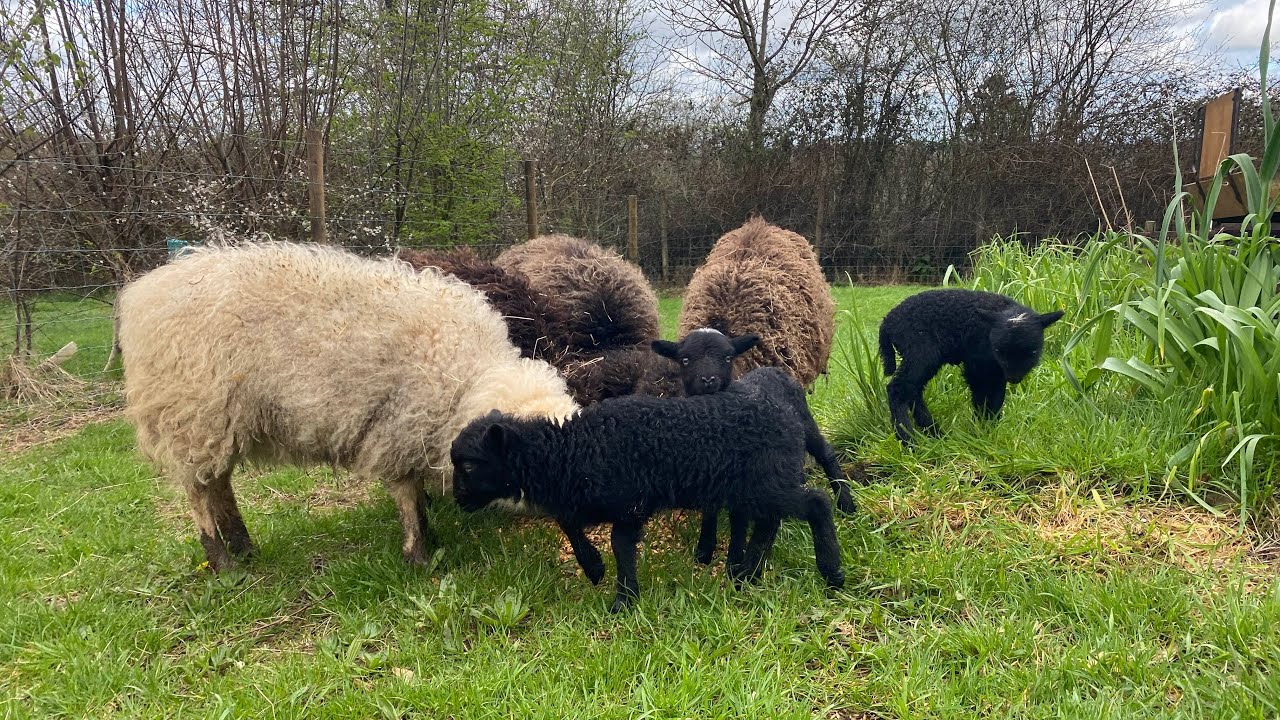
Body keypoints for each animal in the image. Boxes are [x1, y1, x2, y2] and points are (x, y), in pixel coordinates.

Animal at [450, 367, 846, 613]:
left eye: (468, 466)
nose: (458, 500)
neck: (573, 450)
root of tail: (784, 409)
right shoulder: (589, 500)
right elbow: (568, 523)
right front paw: (594, 568)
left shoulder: (631, 504)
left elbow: (620, 546)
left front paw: (624, 600)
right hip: (755, 486)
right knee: (768, 522)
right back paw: (746, 575)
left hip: (767, 479)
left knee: (815, 503)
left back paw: (831, 572)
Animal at [878, 288, 1065, 443]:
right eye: (999, 350)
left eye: (1033, 352)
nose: (1015, 378)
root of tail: (887, 322)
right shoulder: (976, 364)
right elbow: (981, 397)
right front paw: (982, 429)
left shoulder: (996, 370)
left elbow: (997, 396)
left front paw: (990, 429)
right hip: (920, 351)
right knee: (898, 389)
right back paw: (908, 440)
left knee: (913, 391)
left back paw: (935, 433)